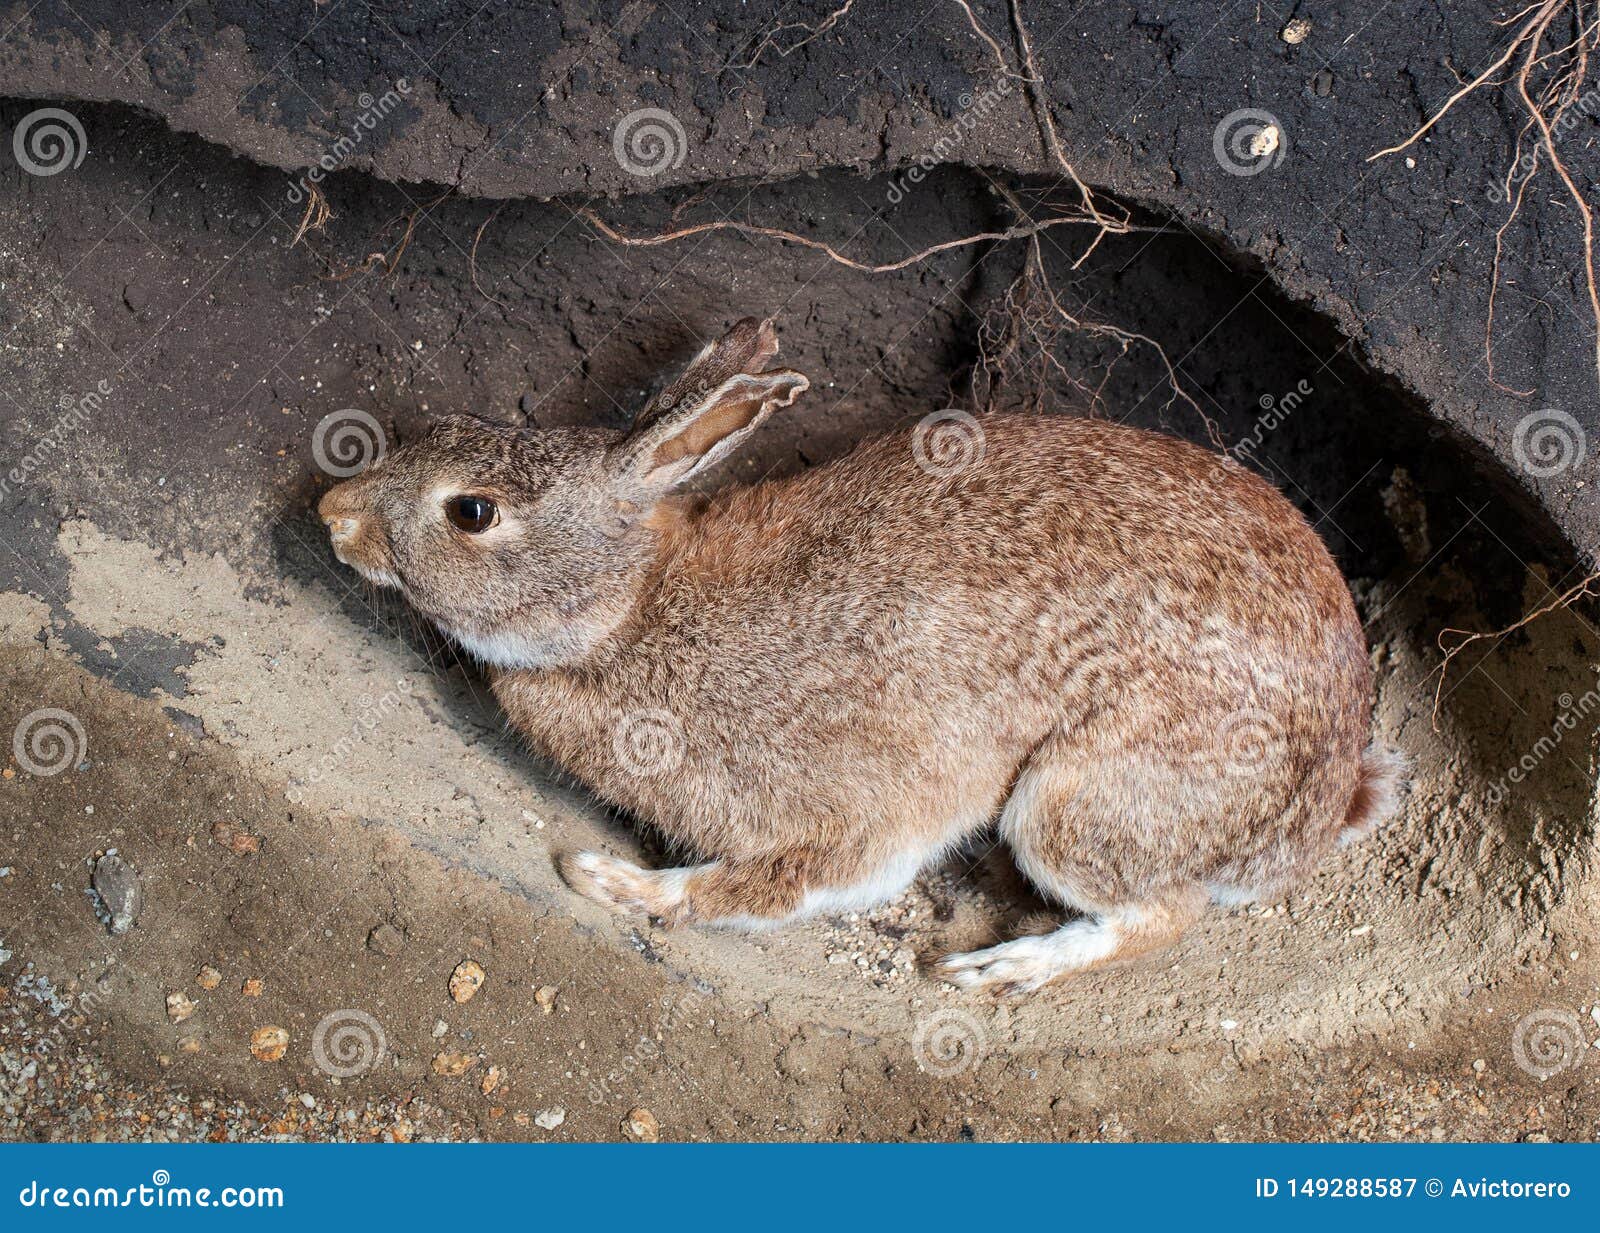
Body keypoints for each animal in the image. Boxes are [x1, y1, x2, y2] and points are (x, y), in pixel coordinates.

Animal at [317, 316, 1406, 994]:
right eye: (453, 429)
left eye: (471, 511)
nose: (332, 515)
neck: (628, 610)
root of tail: (1324, 800)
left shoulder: (857, 812)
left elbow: (781, 884)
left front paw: (619, 884)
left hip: (1079, 803)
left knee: (1159, 913)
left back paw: (1002, 969)